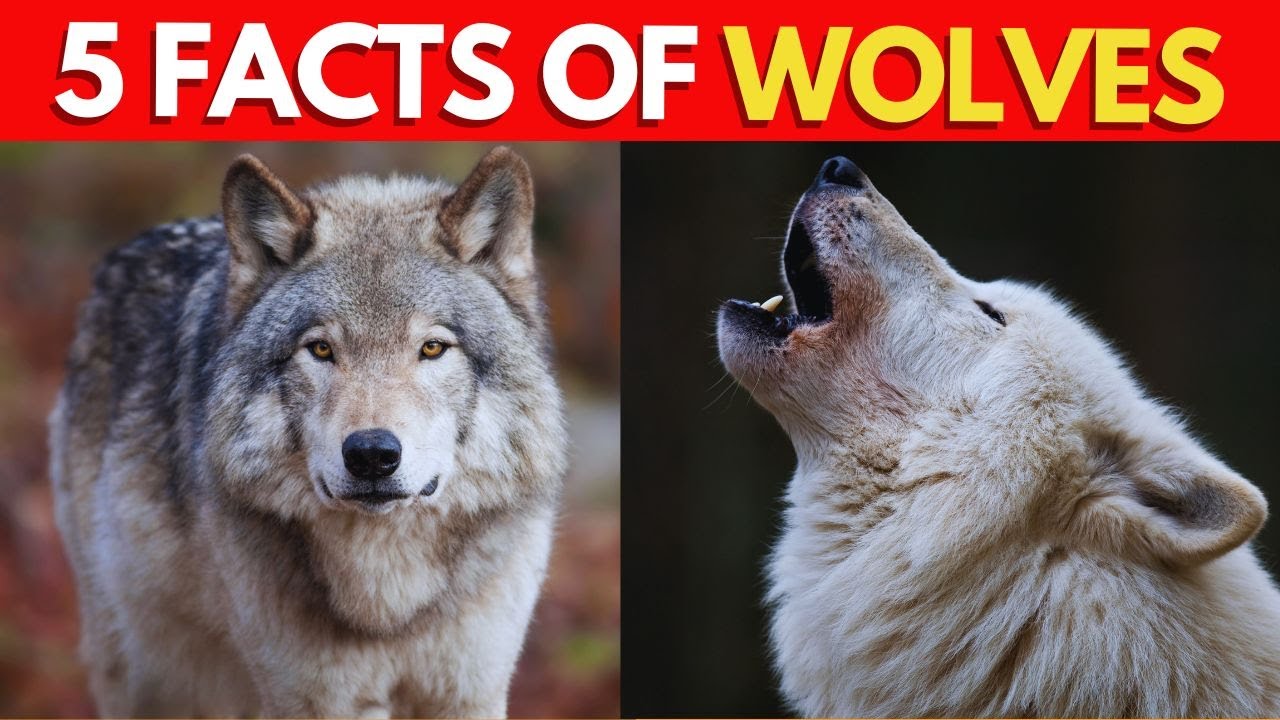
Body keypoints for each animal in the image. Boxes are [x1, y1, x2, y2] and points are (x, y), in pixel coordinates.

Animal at [48, 147, 567, 718]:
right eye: (320, 349)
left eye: (432, 348)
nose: (371, 454)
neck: (385, 600)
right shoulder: (311, 698)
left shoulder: (469, 691)